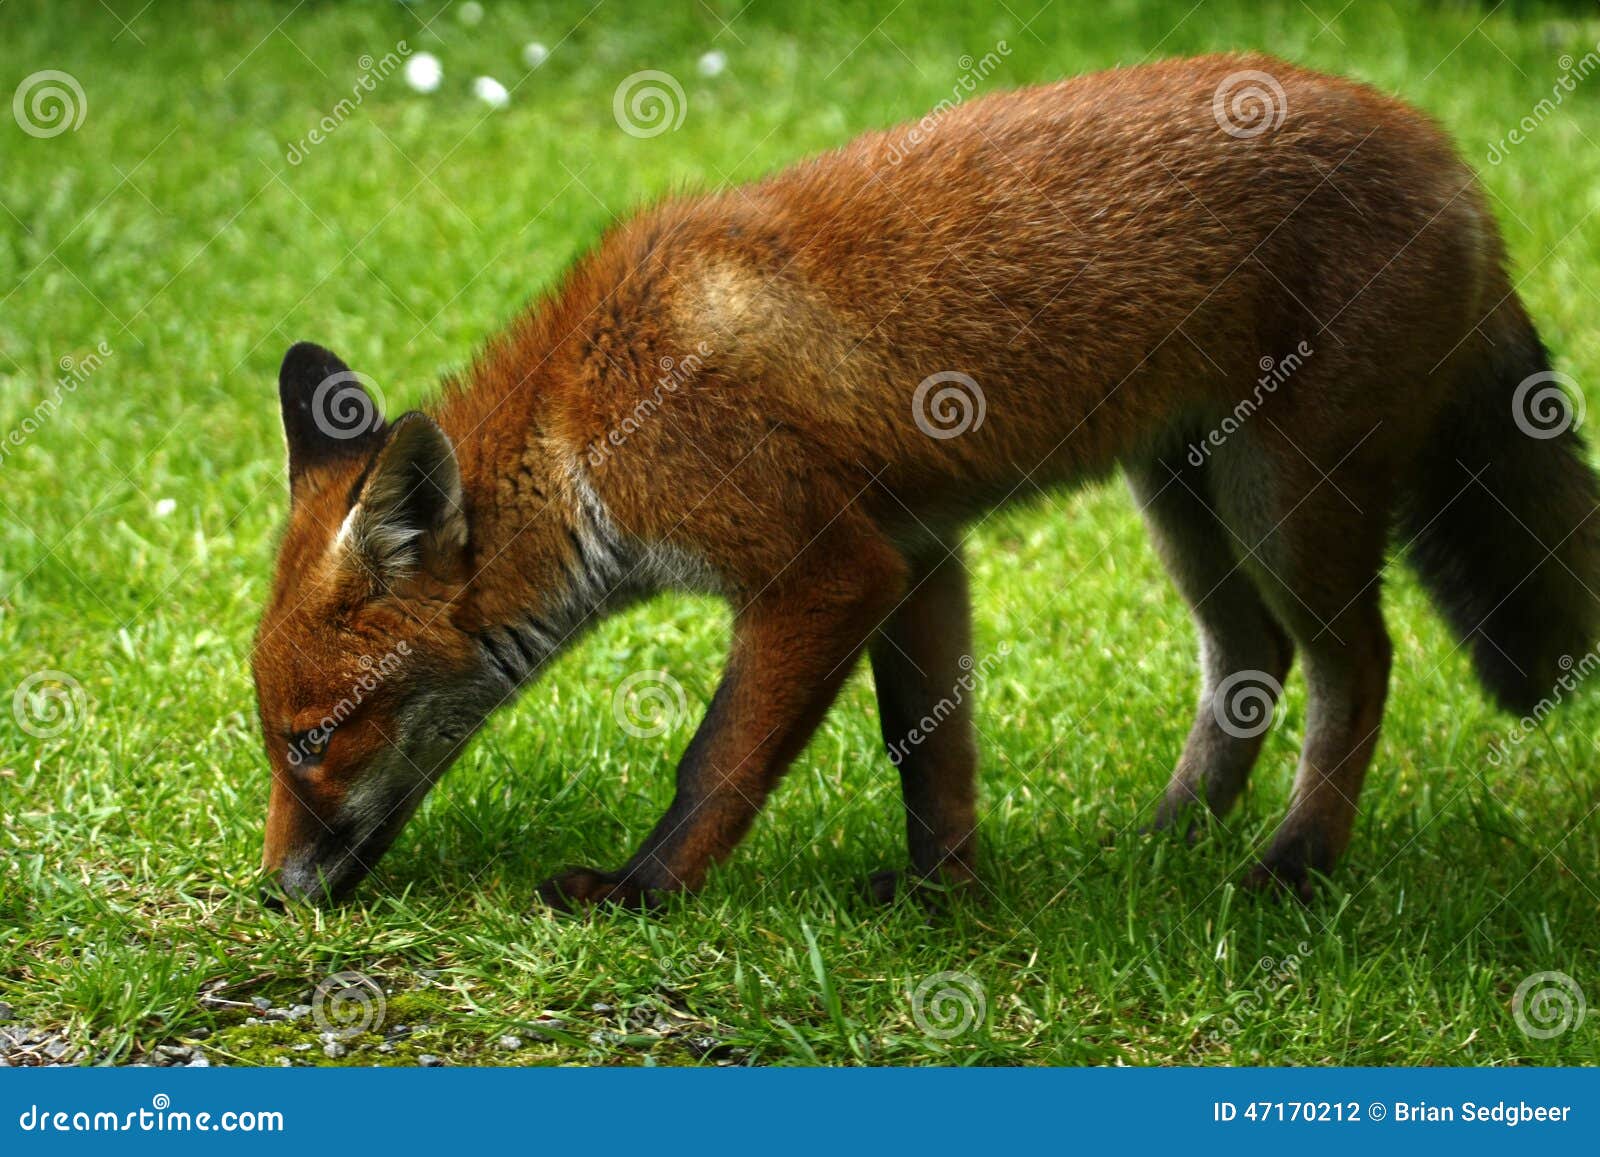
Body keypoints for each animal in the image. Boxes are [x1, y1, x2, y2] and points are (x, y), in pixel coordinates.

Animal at [254, 53, 1600, 910]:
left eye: (313, 736)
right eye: (276, 738)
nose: (271, 893)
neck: (588, 410)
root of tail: (1450, 157)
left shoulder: (825, 567)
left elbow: (715, 760)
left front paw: (641, 891)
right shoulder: (912, 550)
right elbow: (929, 753)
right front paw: (939, 895)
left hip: (1288, 496)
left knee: (1356, 665)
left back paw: (1295, 865)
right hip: (1183, 490)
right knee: (1249, 660)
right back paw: (1165, 845)